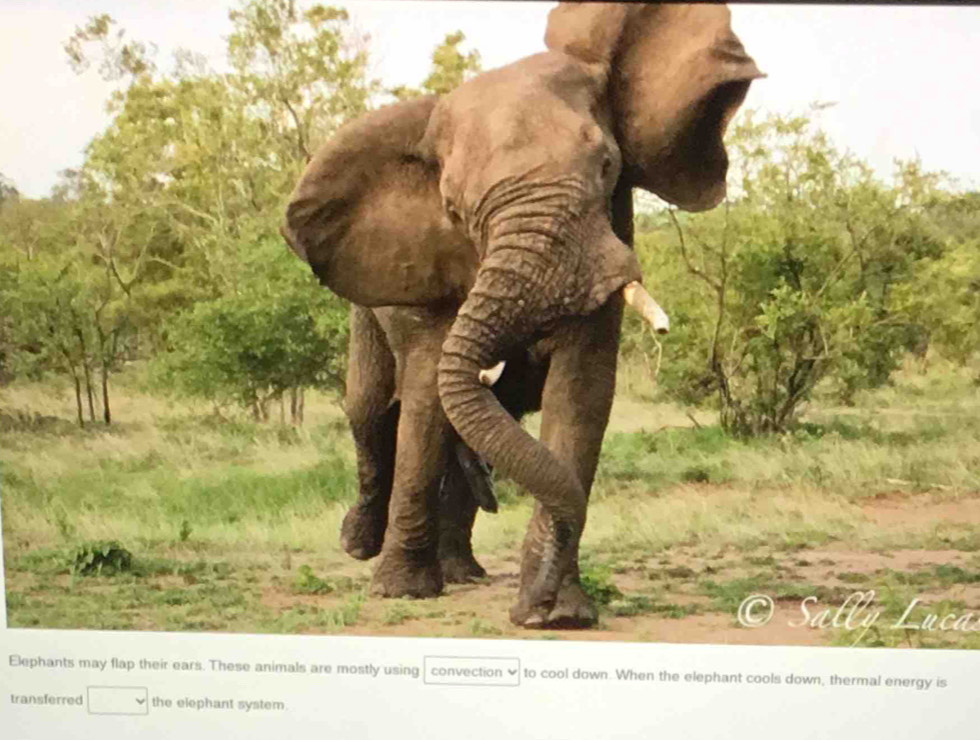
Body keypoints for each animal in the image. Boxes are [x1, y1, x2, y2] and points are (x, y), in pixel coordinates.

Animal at [280, 1, 760, 632]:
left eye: (607, 166)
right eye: (453, 208)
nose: (537, 607)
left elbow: (580, 397)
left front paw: (559, 614)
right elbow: (427, 397)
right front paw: (402, 592)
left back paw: (463, 572)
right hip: (363, 315)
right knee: (368, 413)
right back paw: (361, 546)